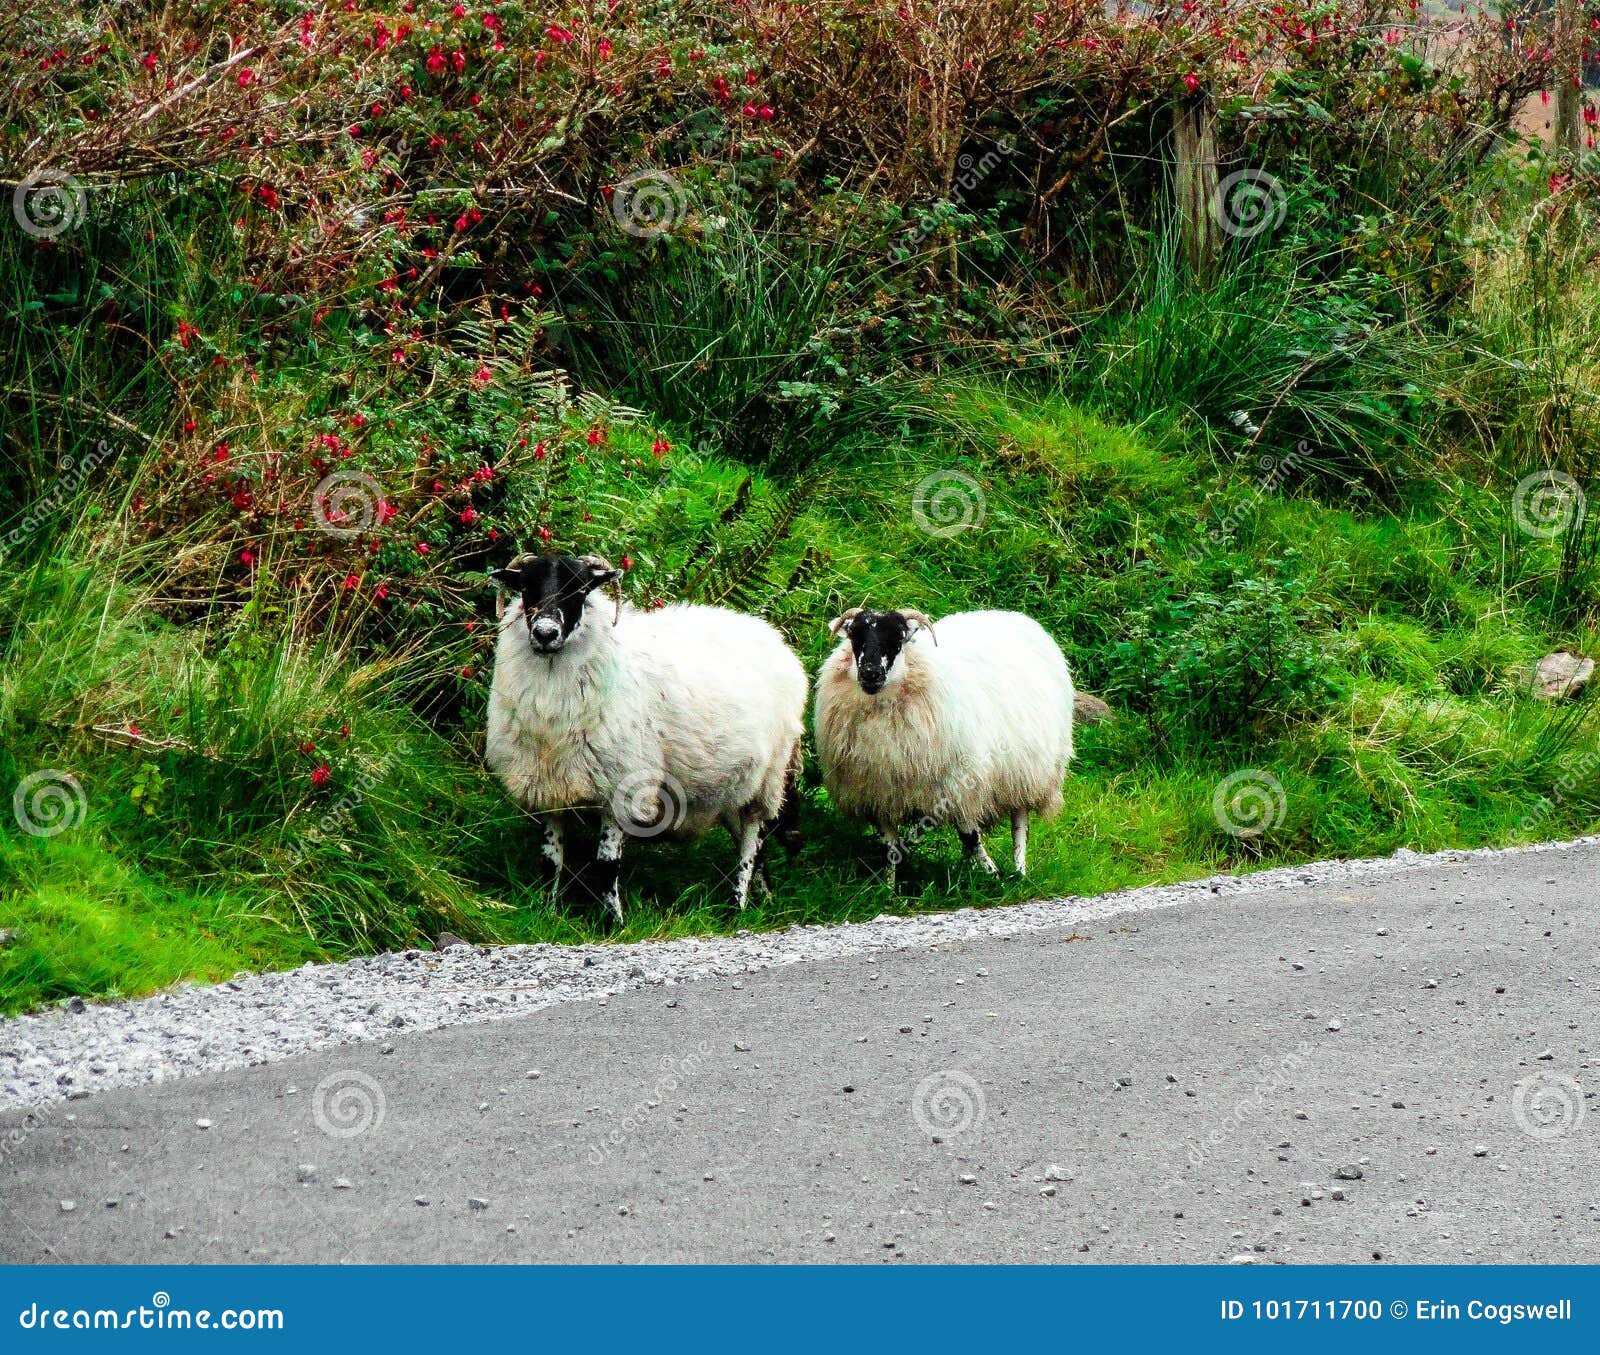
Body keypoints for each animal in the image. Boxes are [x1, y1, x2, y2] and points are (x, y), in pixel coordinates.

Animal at [485, 552, 806, 921]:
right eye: (526, 586)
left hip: (768, 778)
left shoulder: (620, 785)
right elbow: (550, 861)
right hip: (733, 785)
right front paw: (546, 912)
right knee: (757, 841)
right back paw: (764, 898)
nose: (545, 633)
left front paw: (613, 923)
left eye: (579, 588)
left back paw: (736, 904)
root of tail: (773, 637)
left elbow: (606, 865)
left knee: (751, 840)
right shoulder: (548, 786)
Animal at [814, 607, 1074, 887]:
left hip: (1030, 772)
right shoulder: (879, 794)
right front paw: (888, 888)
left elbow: (970, 835)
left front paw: (993, 875)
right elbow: (890, 847)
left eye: (899, 637)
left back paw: (1019, 872)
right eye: (854, 635)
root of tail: (1012, 615)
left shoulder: (959, 786)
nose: (871, 673)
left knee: (1020, 824)